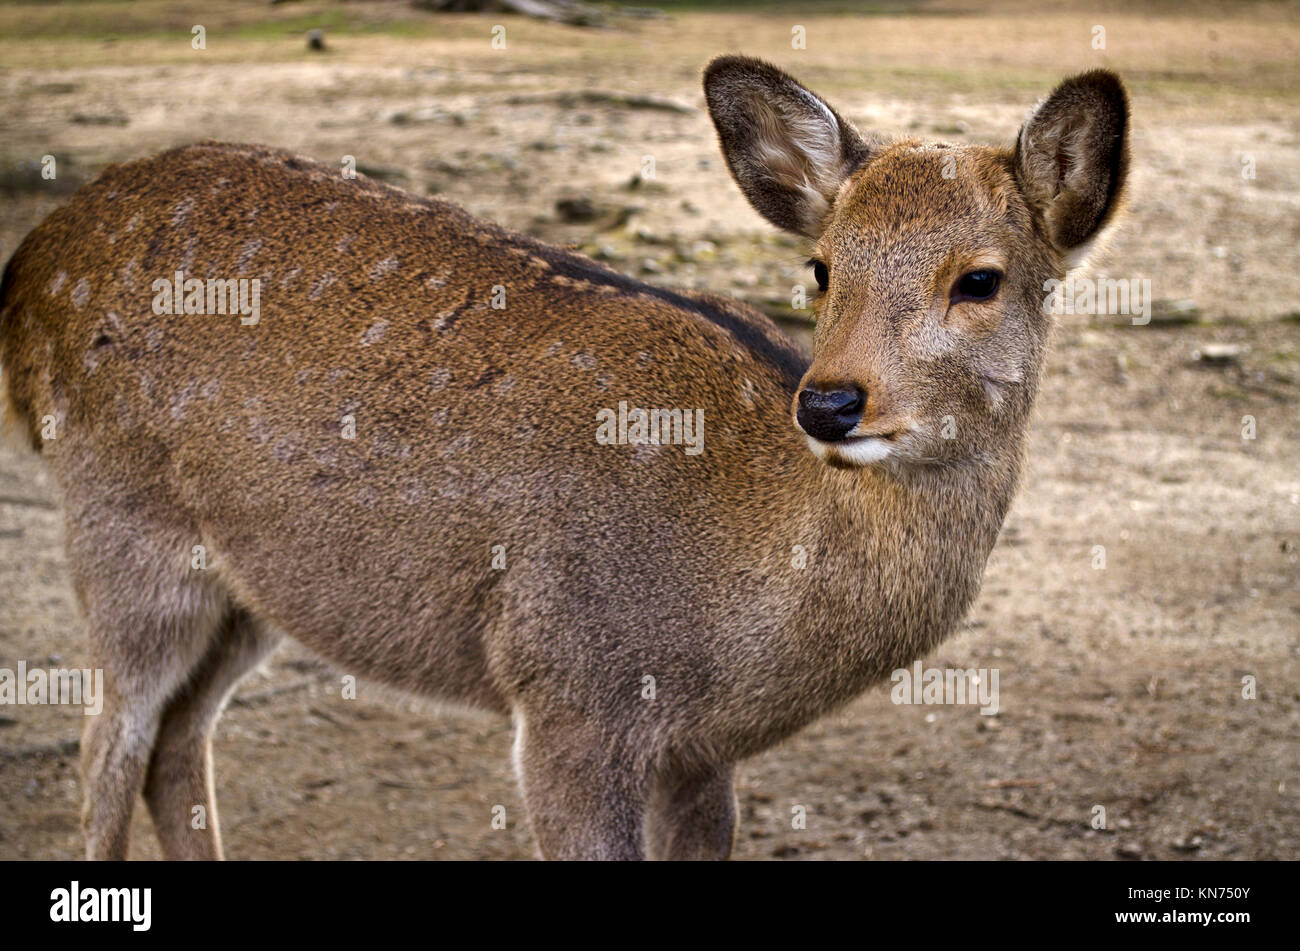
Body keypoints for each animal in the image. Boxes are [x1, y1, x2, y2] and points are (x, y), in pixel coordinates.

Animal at [0, 56, 1128, 860]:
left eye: (979, 278)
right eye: (820, 268)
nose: (830, 402)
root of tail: (32, 268)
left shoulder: (697, 753)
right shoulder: (568, 688)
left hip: (249, 586)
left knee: (175, 740)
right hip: (118, 519)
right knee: (107, 746)